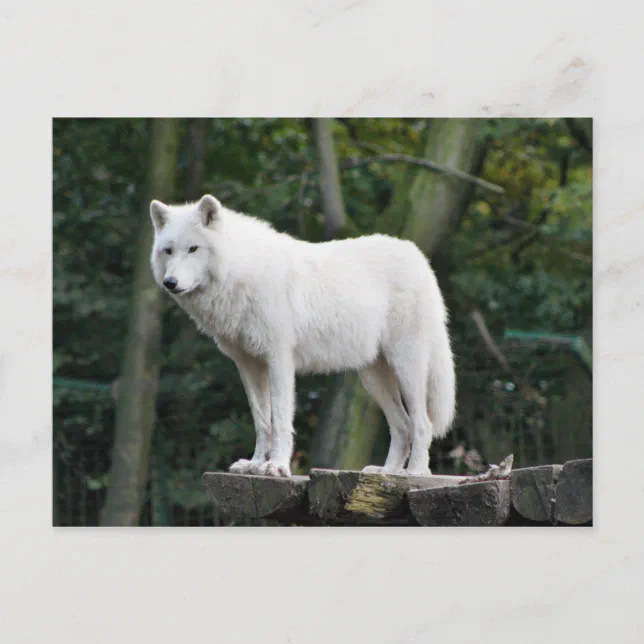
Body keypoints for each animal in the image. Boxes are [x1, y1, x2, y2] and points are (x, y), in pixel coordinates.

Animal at [150, 194, 456, 478]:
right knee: (402, 426)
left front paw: (277, 466)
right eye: (168, 251)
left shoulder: (279, 360)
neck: (241, 273)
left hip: (406, 368)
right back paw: (386, 473)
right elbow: (262, 421)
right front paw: (255, 464)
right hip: (373, 378)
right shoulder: (248, 365)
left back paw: (415, 472)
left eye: (193, 249)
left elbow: (280, 420)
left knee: (422, 423)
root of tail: (419, 257)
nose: (170, 283)